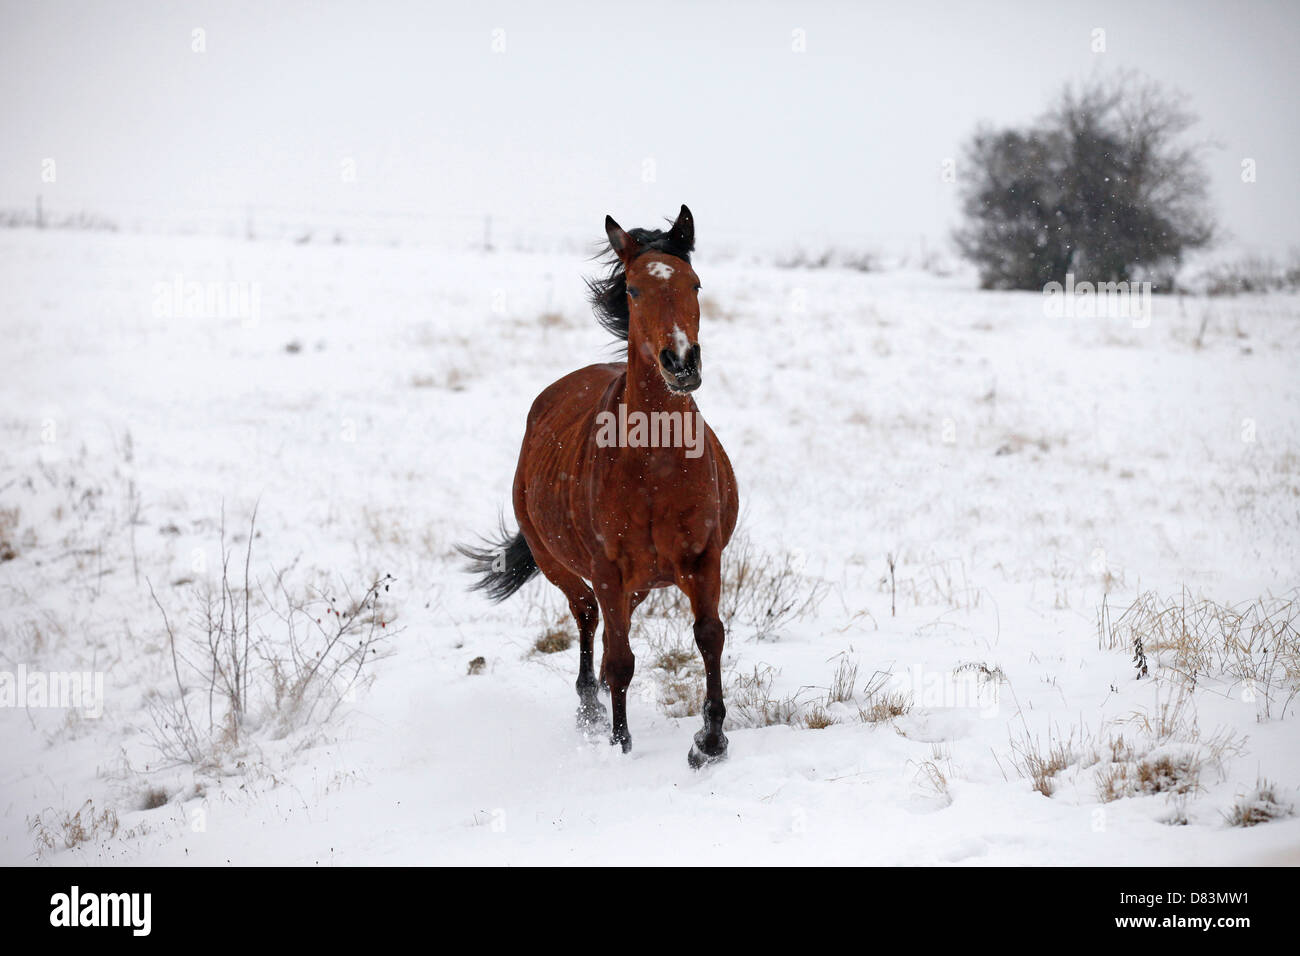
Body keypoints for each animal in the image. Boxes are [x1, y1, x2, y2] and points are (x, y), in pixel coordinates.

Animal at [459, 205, 739, 768]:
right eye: (632, 289)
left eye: (696, 283)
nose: (681, 363)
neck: (655, 466)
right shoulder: (608, 570)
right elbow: (620, 659)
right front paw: (619, 742)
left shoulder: (704, 558)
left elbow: (709, 636)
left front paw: (710, 741)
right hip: (560, 565)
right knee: (591, 623)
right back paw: (590, 709)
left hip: (639, 583)